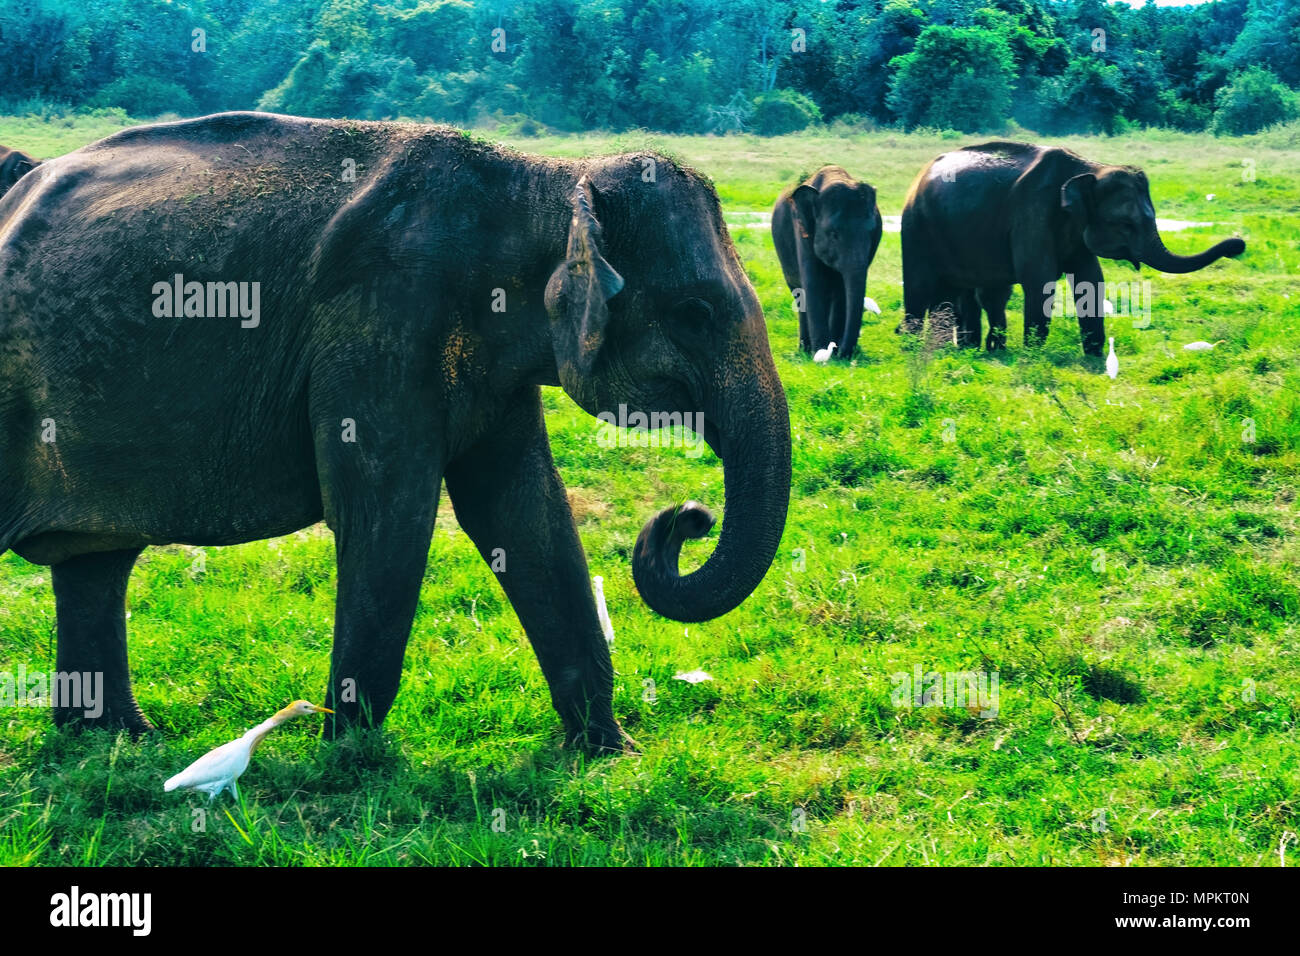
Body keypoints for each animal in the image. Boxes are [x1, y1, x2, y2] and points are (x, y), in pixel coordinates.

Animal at [0, 111, 792, 754]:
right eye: (694, 312)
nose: (688, 517)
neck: (539, 181)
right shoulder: (379, 323)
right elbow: (388, 514)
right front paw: (346, 758)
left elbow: (523, 512)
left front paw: (607, 752)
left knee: (95, 563)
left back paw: (120, 743)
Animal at [772, 165, 882, 360]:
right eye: (833, 234)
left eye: (872, 232)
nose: (844, 352)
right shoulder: (802, 232)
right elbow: (813, 284)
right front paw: (821, 350)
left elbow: (840, 289)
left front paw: (834, 352)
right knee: (799, 293)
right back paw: (806, 349)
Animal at [900, 141, 1246, 355]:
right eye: (1126, 224)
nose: (1238, 244)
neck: (1089, 167)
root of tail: (919, 176)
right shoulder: (1031, 213)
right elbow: (1039, 281)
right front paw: (1033, 354)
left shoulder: (1076, 229)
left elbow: (1091, 280)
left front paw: (1093, 355)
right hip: (916, 226)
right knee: (921, 287)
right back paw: (916, 347)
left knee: (965, 293)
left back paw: (967, 348)